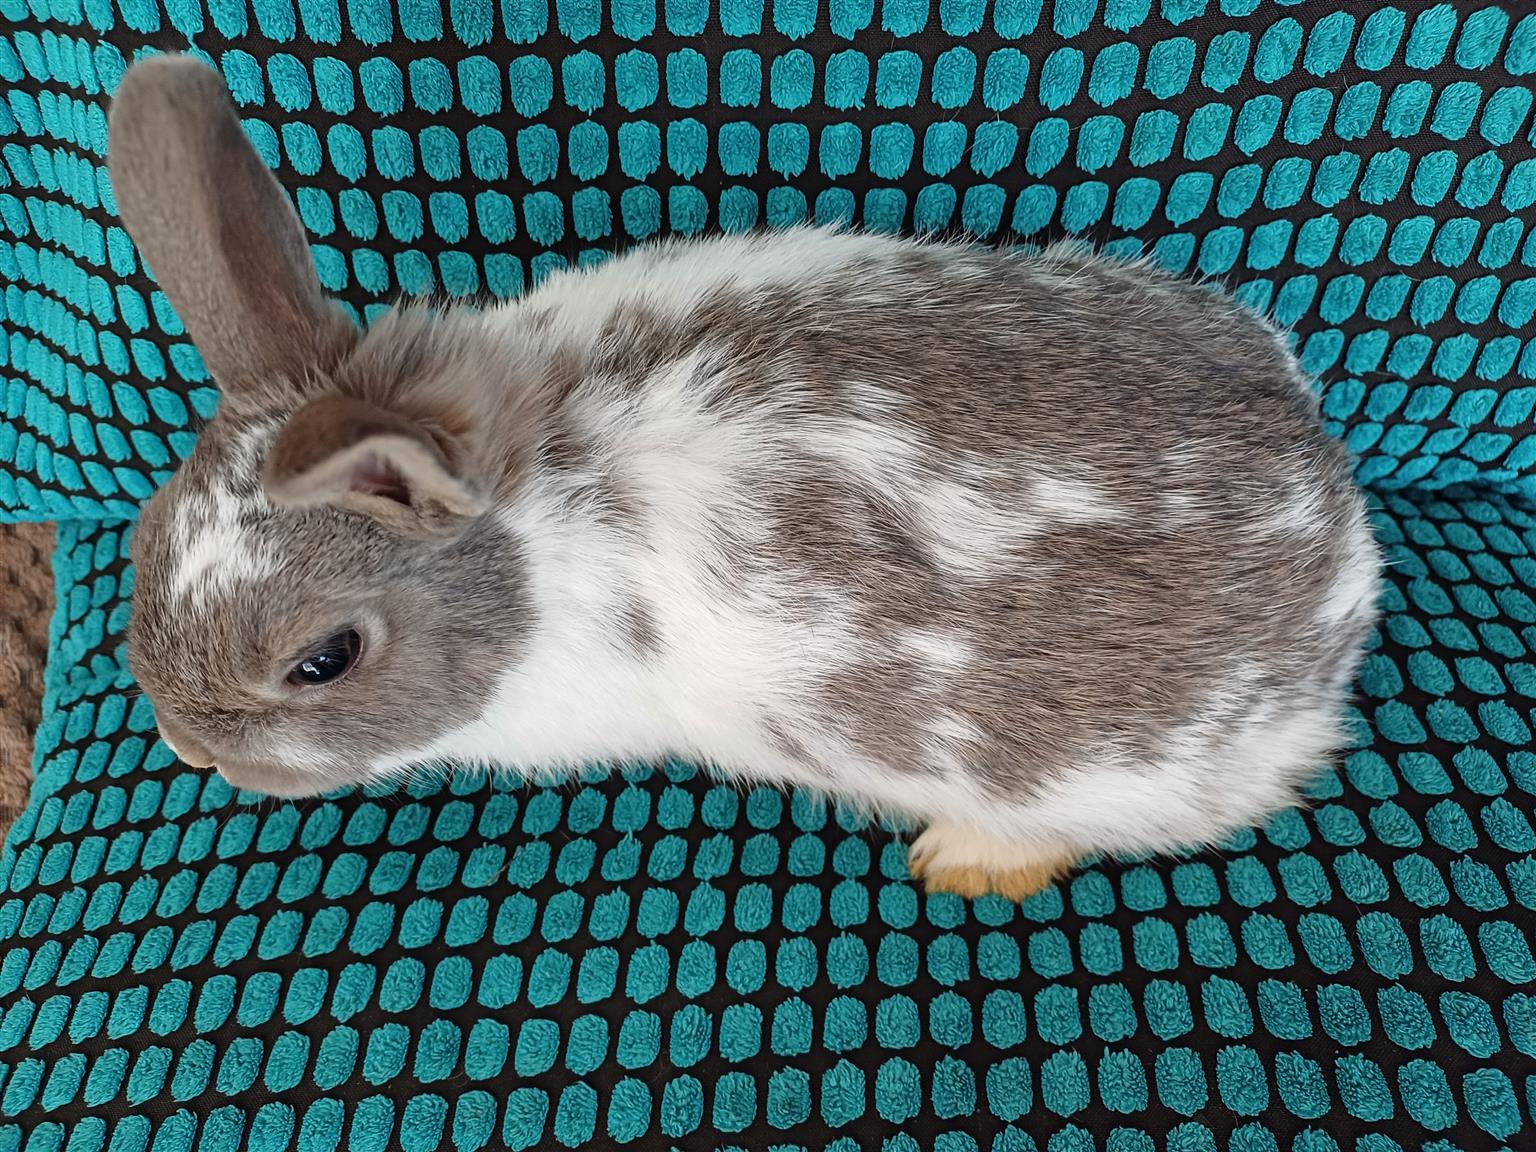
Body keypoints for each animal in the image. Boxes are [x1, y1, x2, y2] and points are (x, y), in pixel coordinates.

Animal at [112, 55, 1381, 900]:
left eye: (322, 661)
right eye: (141, 534)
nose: (186, 746)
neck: (532, 512)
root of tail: (1344, 548)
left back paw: (963, 862)